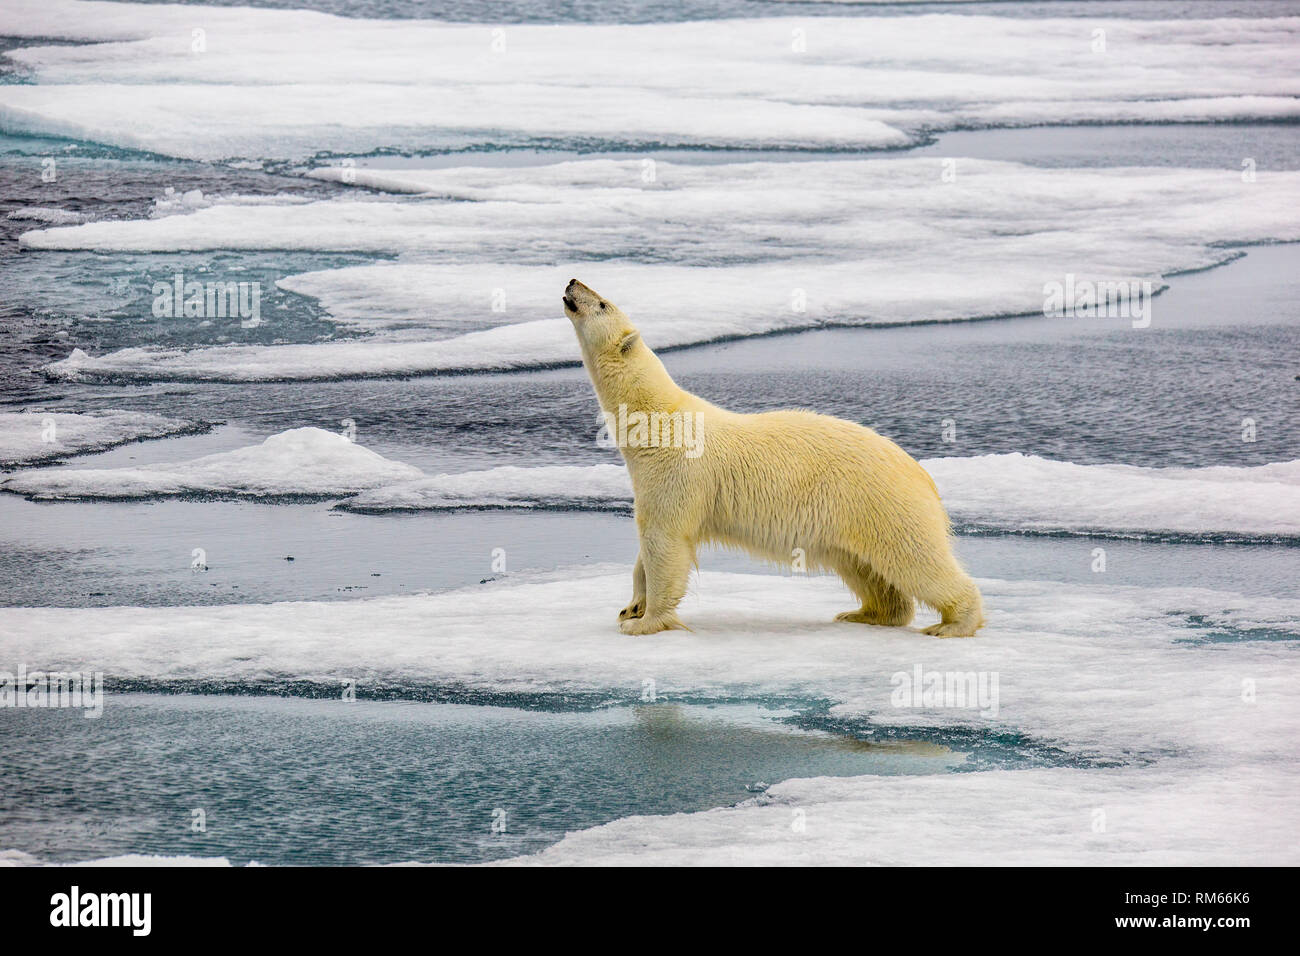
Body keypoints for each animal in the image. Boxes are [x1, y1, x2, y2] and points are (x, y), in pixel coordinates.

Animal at [563, 278, 985, 638]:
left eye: (602, 303)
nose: (572, 282)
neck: (658, 421)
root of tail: (919, 472)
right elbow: (647, 546)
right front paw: (631, 607)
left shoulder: (678, 473)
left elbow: (665, 541)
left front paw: (644, 623)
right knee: (865, 568)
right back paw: (863, 613)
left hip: (883, 503)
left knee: (915, 559)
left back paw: (952, 624)